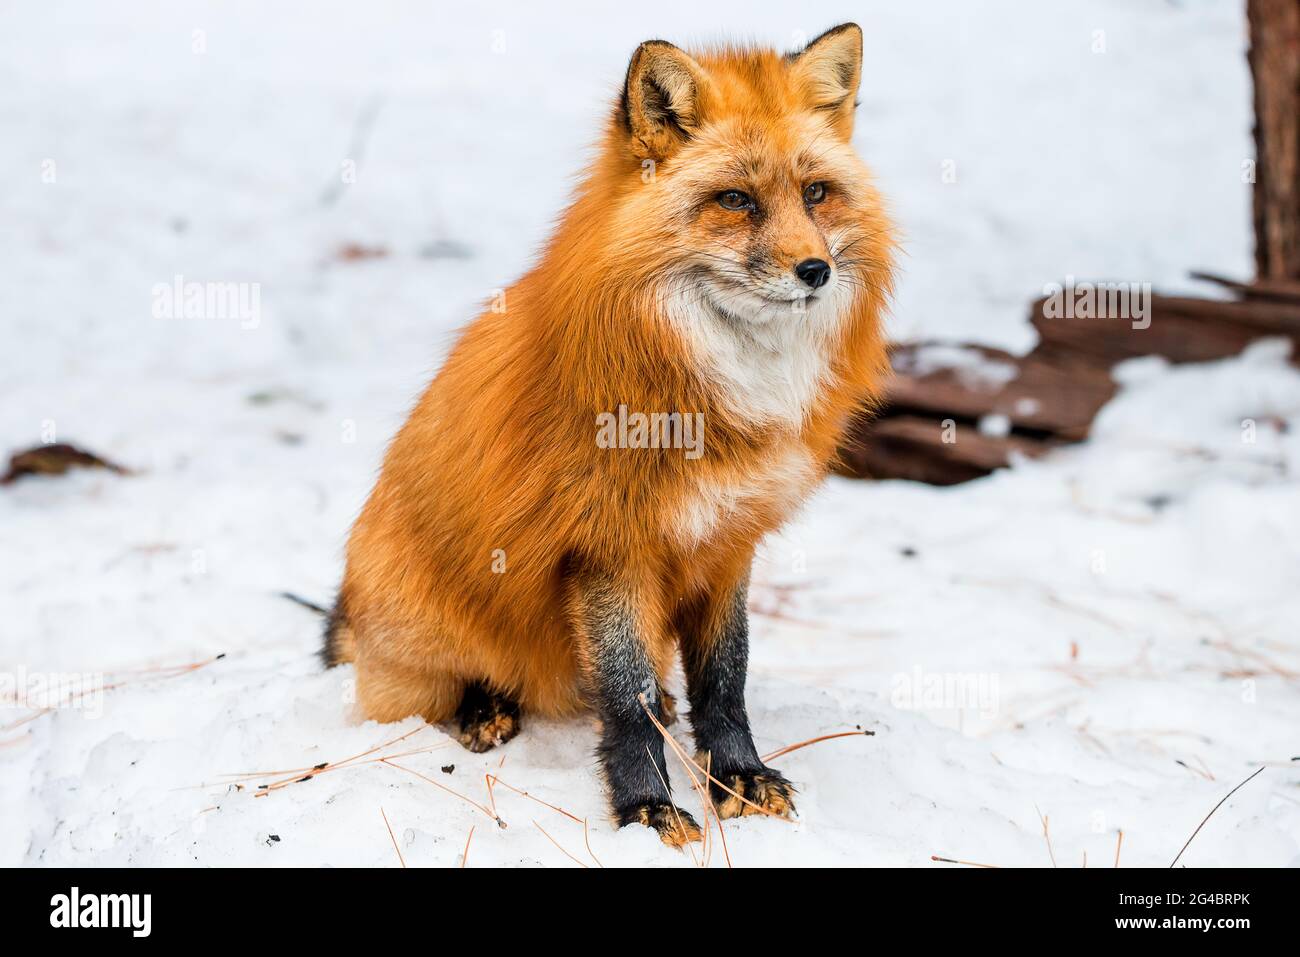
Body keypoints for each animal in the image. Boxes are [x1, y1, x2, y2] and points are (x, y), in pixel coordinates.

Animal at [323, 23, 895, 847]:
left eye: (816, 192)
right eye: (735, 200)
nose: (815, 270)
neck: (715, 394)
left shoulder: (729, 540)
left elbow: (725, 681)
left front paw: (739, 778)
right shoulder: (605, 545)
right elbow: (628, 699)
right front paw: (646, 809)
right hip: (427, 637)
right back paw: (482, 709)